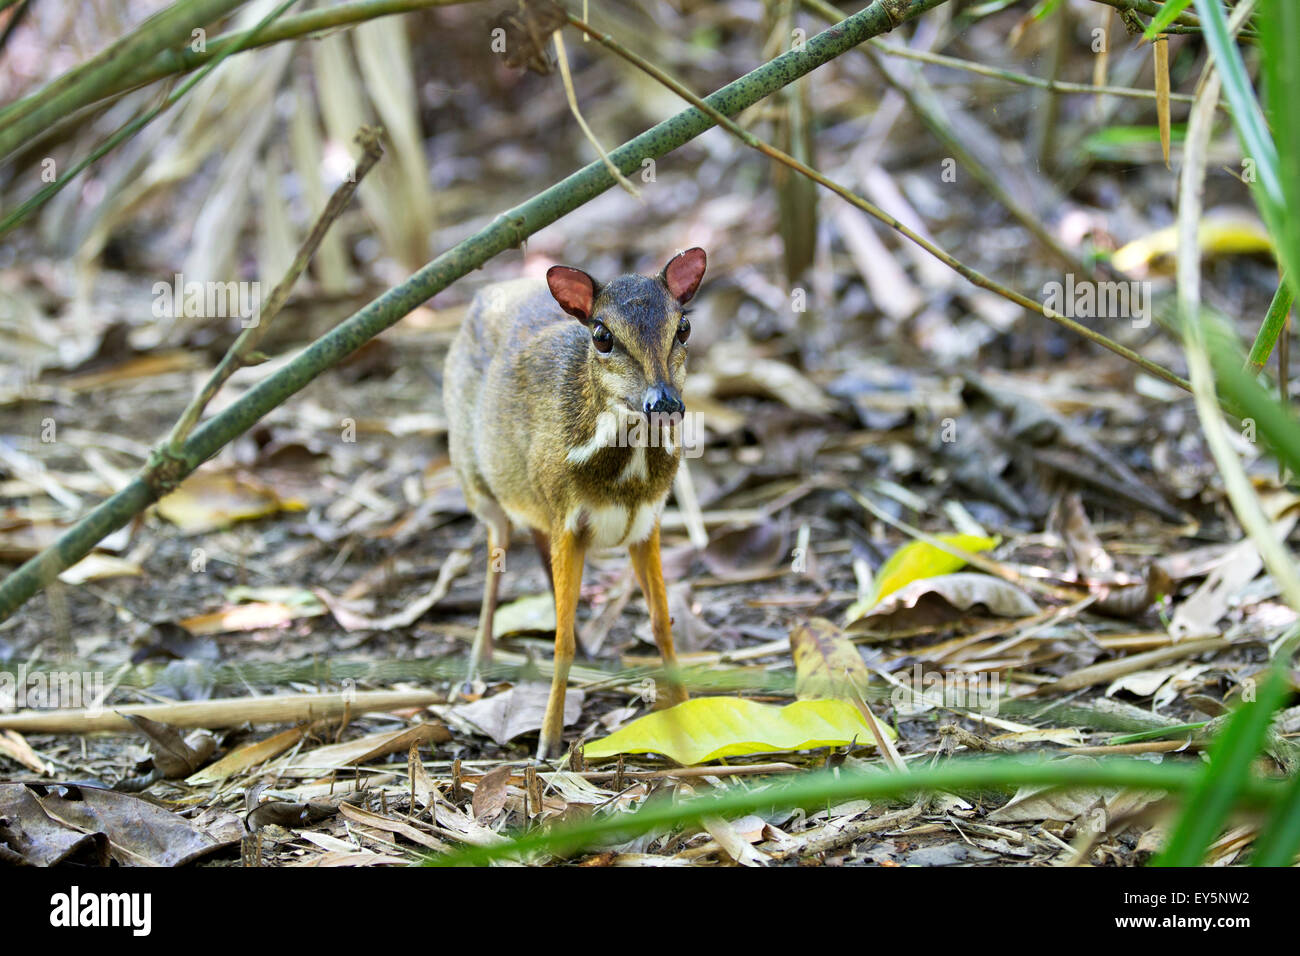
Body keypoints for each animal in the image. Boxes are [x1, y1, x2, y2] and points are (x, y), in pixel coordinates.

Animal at [443, 248, 707, 759]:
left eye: (683, 326)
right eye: (602, 336)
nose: (664, 401)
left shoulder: (646, 522)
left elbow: (661, 623)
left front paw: (687, 711)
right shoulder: (567, 515)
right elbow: (558, 641)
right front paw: (548, 740)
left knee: (535, 543)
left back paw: (587, 645)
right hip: (476, 480)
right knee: (496, 551)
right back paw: (476, 665)